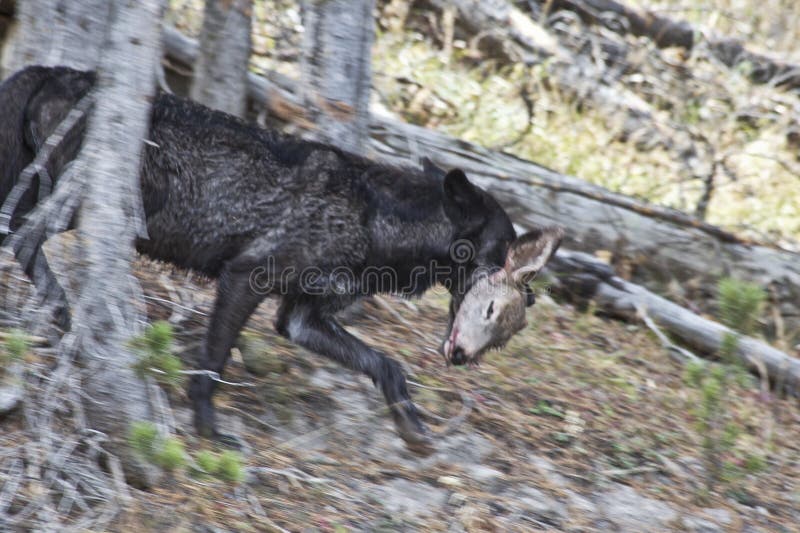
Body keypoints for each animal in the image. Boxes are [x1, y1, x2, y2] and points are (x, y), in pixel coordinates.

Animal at [0, 66, 563, 448]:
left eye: (504, 322)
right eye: (493, 297)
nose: (464, 358)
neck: (375, 226)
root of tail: (49, 71)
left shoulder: (298, 318)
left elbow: (386, 365)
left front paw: (413, 427)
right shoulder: (244, 278)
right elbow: (211, 366)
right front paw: (209, 433)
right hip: (74, 206)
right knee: (21, 238)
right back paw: (64, 315)